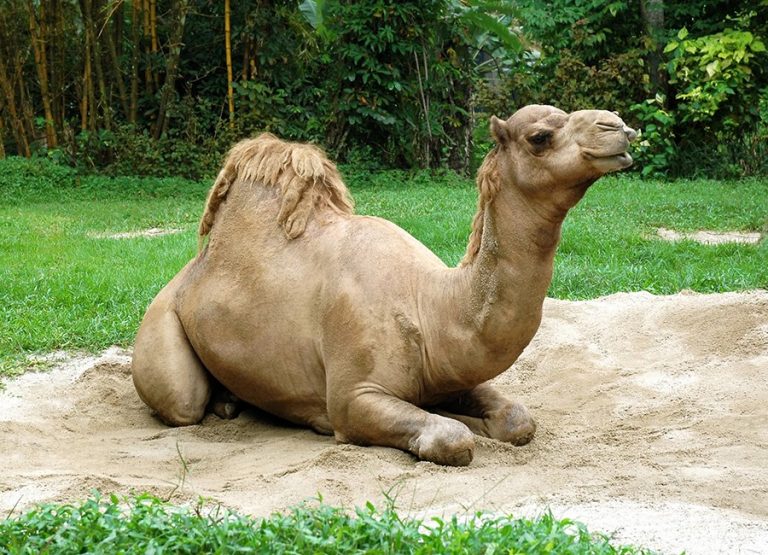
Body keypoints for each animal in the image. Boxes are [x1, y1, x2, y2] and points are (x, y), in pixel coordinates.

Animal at [132, 105, 636, 466]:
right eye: (539, 137)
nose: (618, 126)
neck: (429, 305)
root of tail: (187, 273)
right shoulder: (354, 396)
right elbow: (451, 436)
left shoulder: (449, 372)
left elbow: (517, 420)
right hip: (163, 332)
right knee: (182, 402)